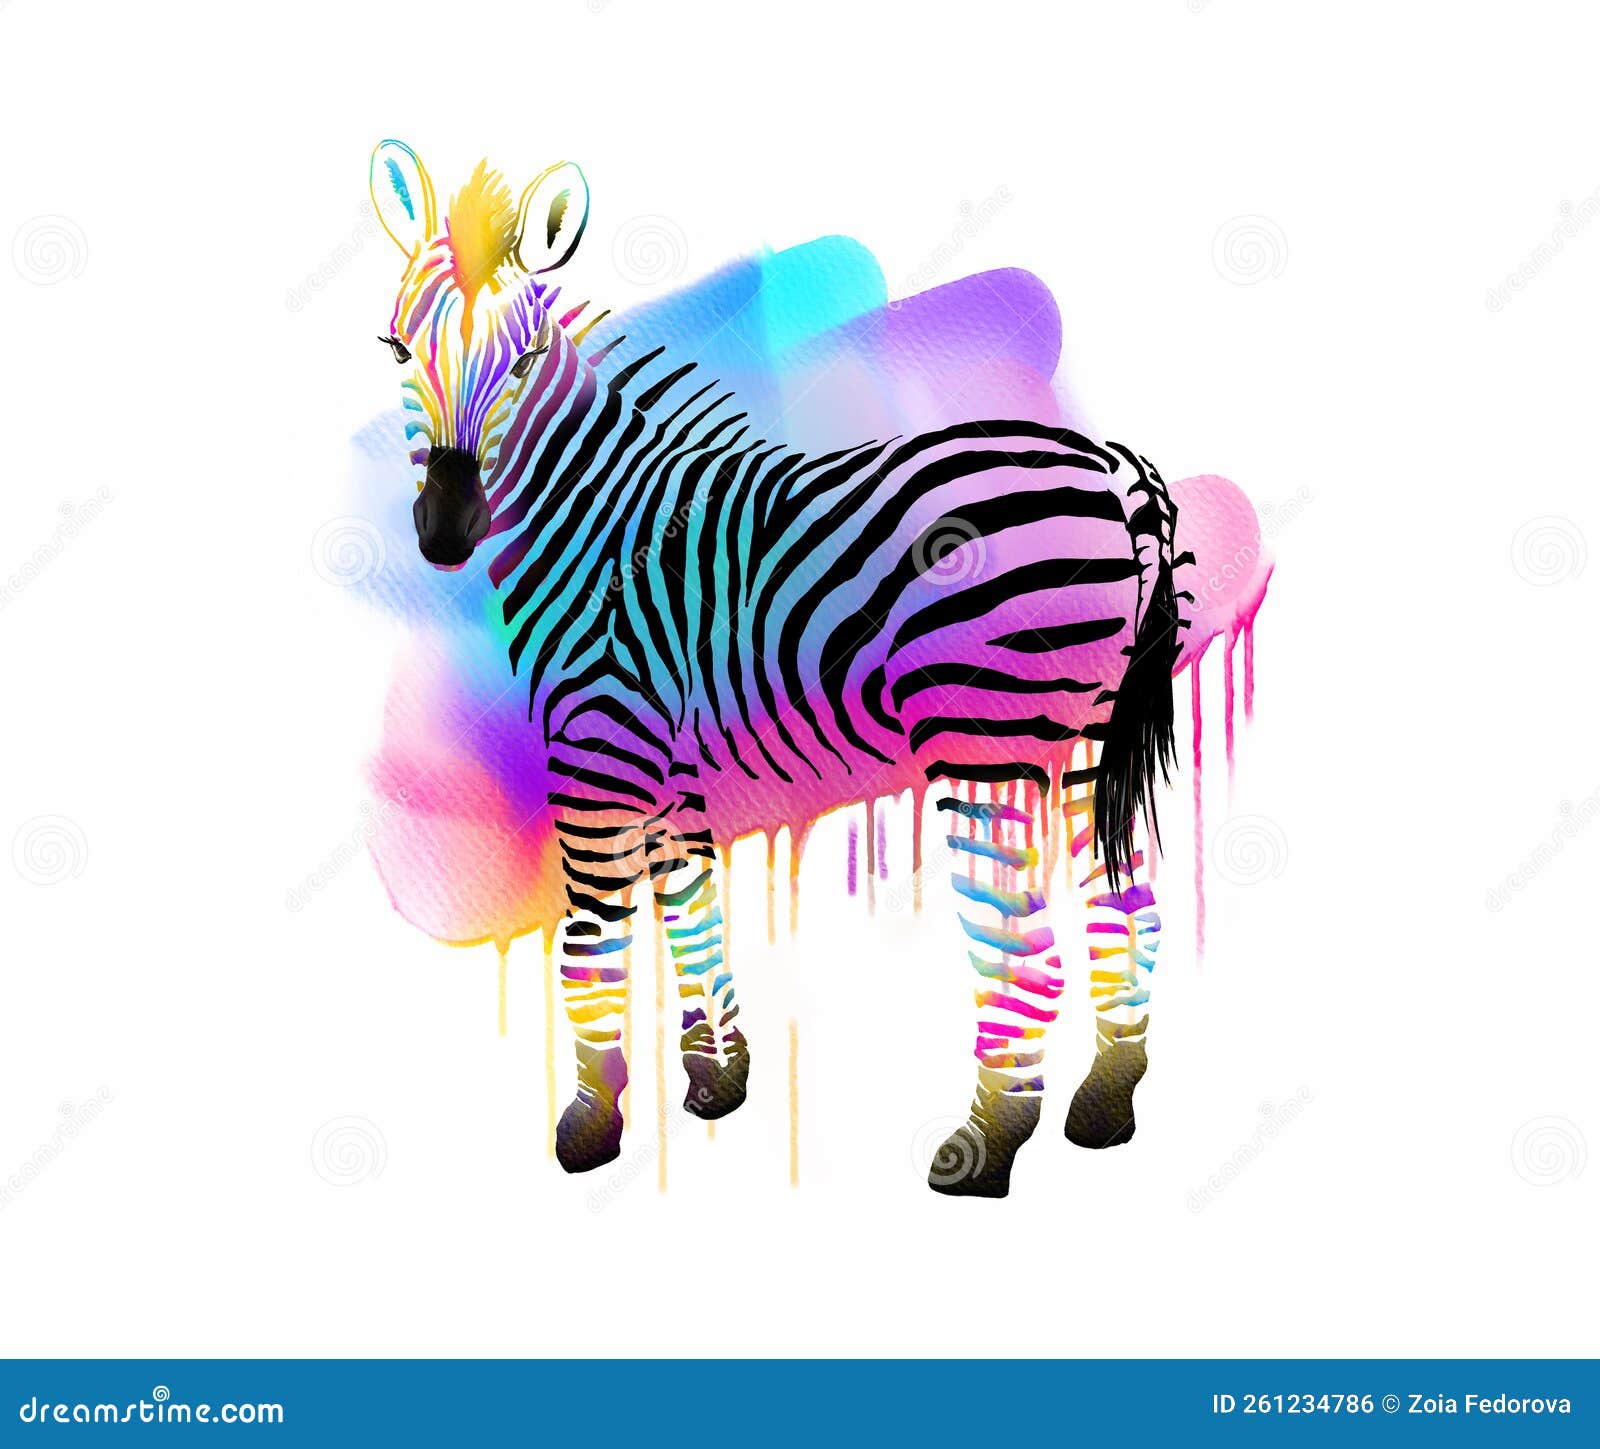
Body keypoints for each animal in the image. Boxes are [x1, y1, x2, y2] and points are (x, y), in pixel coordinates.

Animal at [370, 141, 1195, 1198]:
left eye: (521, 361)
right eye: (397, 349)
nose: (444, 532)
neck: (593, 515)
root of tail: (1111, 468)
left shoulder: (599, 741)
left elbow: (592, 939)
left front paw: (590, 1123)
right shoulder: (665, 748)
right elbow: (691, 904)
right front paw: (719, 1079)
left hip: (986, 730)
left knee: (1023, 950)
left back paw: (984, 1148)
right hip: (1091, 731)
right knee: (1129, 906)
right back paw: (1104, 1106)